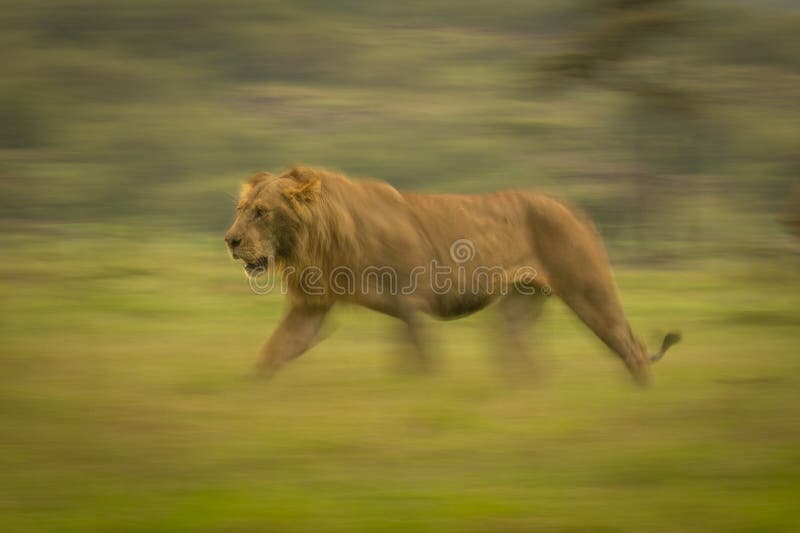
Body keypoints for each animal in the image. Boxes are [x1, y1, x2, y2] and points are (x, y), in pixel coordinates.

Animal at [225, 166, 680, 386]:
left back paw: (641, 402)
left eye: (262, 212)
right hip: (517, 308)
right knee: (524, 360)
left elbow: (425, 362)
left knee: (631, 348)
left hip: (588, 288)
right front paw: (248, 397)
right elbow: (273, 353)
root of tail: (566, 204)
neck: (322, 237)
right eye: (241, 210)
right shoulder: (312, 307)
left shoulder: (413, 303)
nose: (230, 240)